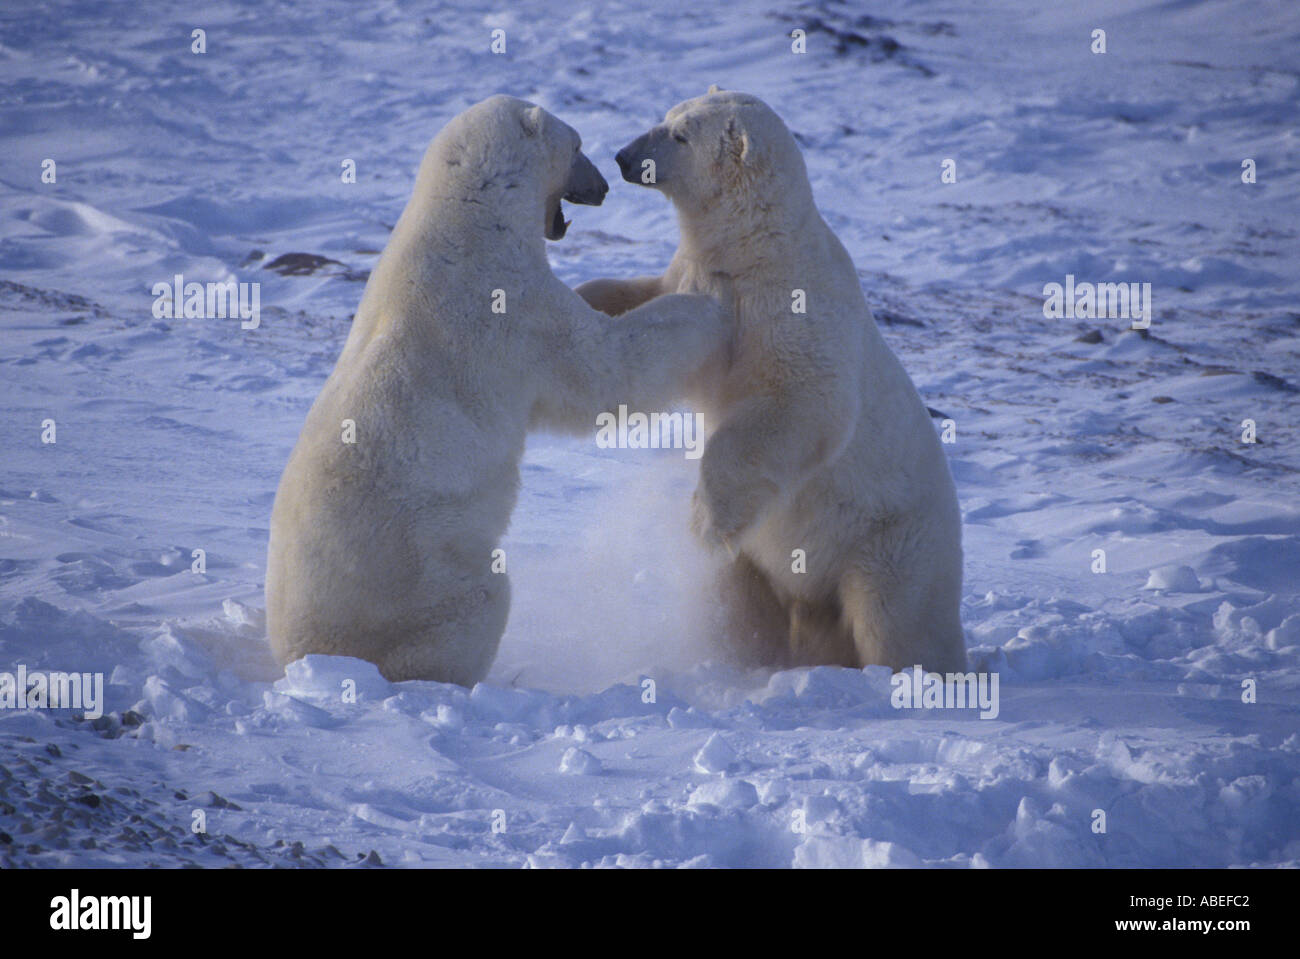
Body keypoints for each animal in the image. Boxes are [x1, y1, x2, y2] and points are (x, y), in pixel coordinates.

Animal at [266, 95, 729, 685]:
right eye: (576, 145)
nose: (604, 183)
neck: (468, 217)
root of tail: (303, 651)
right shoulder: (509, 303)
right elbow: (598, 369)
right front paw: (706, 306)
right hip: (423, 576)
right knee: (480, 601)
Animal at [576, 89, 966, 674]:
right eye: (667, 118)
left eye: (681, 135)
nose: (624, 156)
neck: (757, 246)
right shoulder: (694, 272)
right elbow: (641, 296)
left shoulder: (791, 305)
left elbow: (803, 401)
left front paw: (705, 520)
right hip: (769, 567)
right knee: (748, 601)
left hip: (892, 542)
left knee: (897, 620)